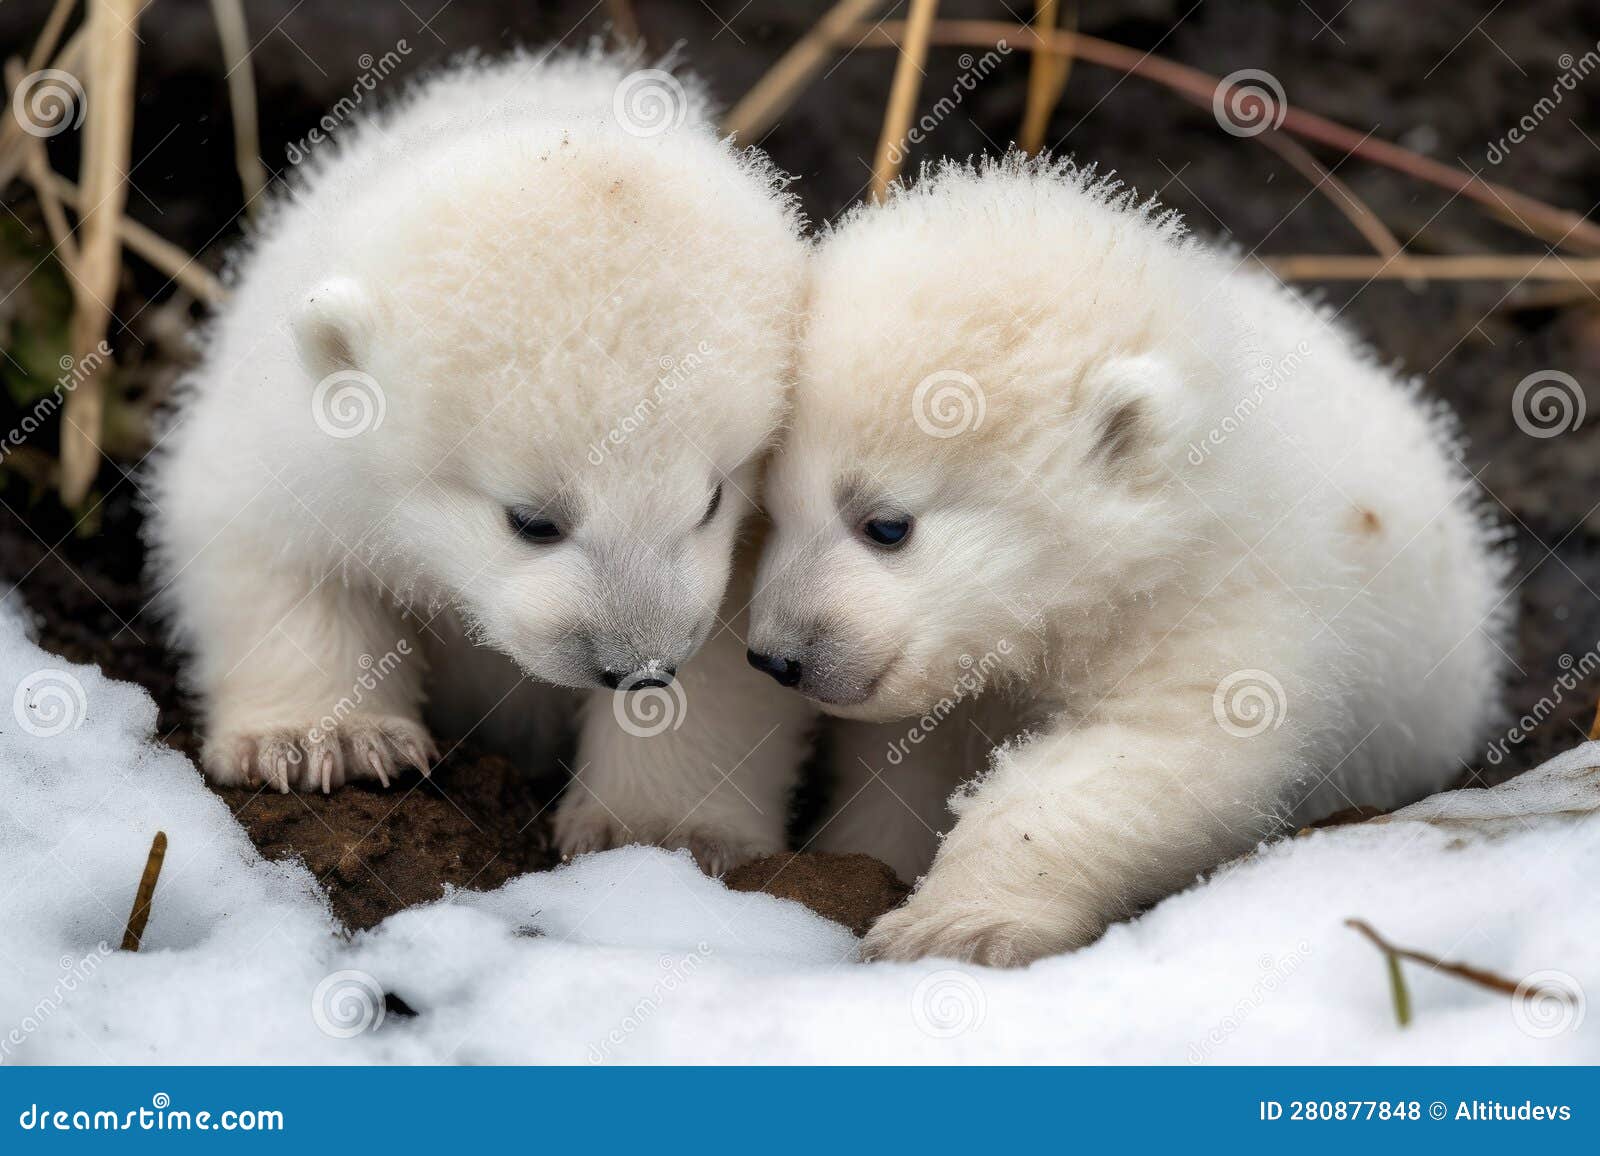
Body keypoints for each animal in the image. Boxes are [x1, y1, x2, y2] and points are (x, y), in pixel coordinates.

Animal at [146, 48, 815, 871]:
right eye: (532, 521)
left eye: (712, 501)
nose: (639, 667)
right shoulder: (291, 438)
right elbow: (269, 551)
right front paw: (323, 743)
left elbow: (730, 660)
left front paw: (662, 825)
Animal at [740, 156, 1511, 965]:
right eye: (774, 507)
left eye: (886, 525)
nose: (780, 656)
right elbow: (909, 761)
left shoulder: (1219, 598)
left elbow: (1154, 750)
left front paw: (957, 925)